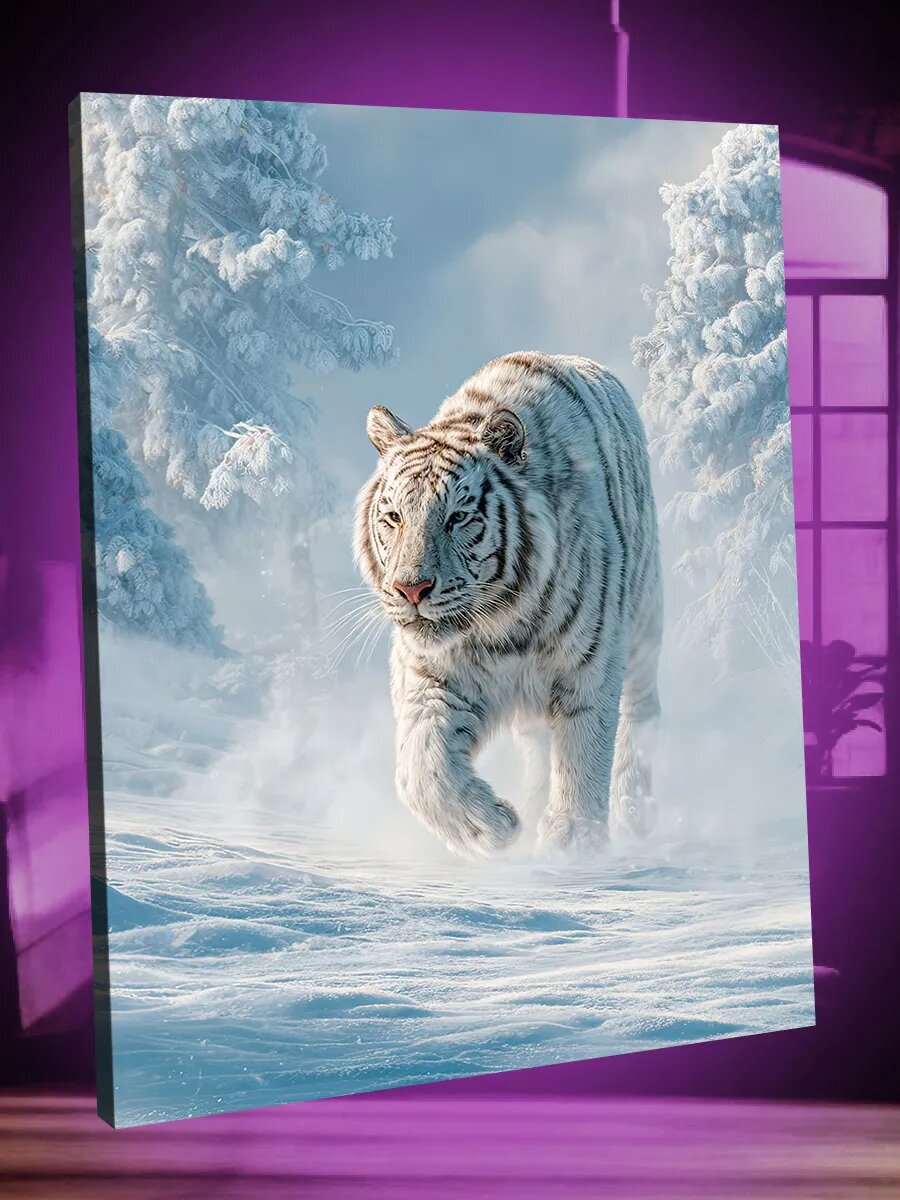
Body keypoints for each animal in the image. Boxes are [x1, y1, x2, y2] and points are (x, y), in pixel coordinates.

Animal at [354, 351, 663, 859]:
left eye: (458, 517)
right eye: (394, 517)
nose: (411, 590)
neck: (503, 624)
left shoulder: (589, 661)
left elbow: (584, 746)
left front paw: (575, 839)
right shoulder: (431, 672)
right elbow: (422, 768)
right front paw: (493, 827)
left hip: (643, 623)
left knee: (641, 715)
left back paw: (635, 811)